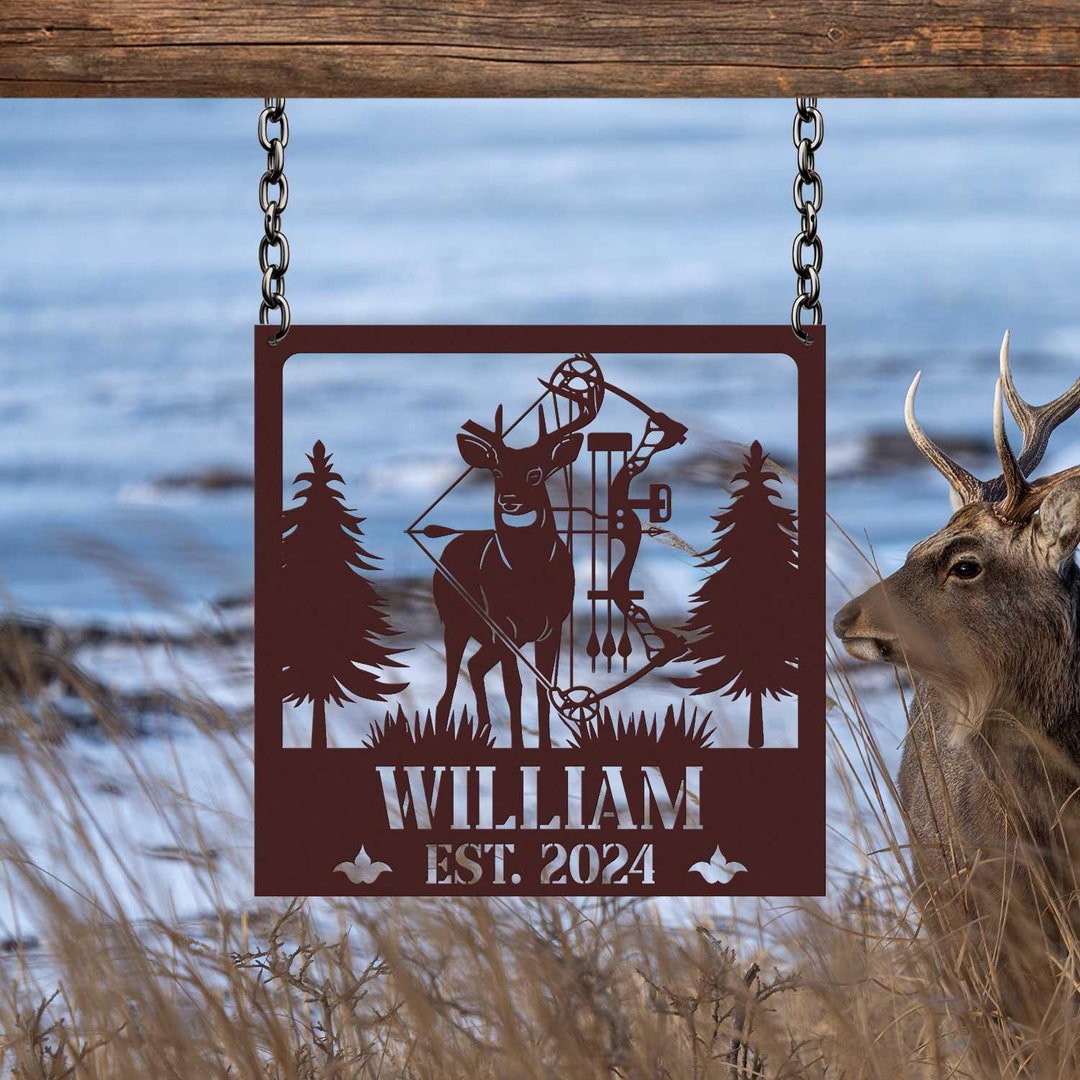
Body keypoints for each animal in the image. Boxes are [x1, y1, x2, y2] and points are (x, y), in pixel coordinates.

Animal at [433, 397, 594, 748]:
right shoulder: (504, 624)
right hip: (456, 623)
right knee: (447, 693)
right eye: (496, 471)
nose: (509, 499)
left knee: (475, 666)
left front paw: (544, 746)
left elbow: (542, 691)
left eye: (535, 473)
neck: (529, 575)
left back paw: (484, 728)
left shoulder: (552, 626)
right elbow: (513, 689)